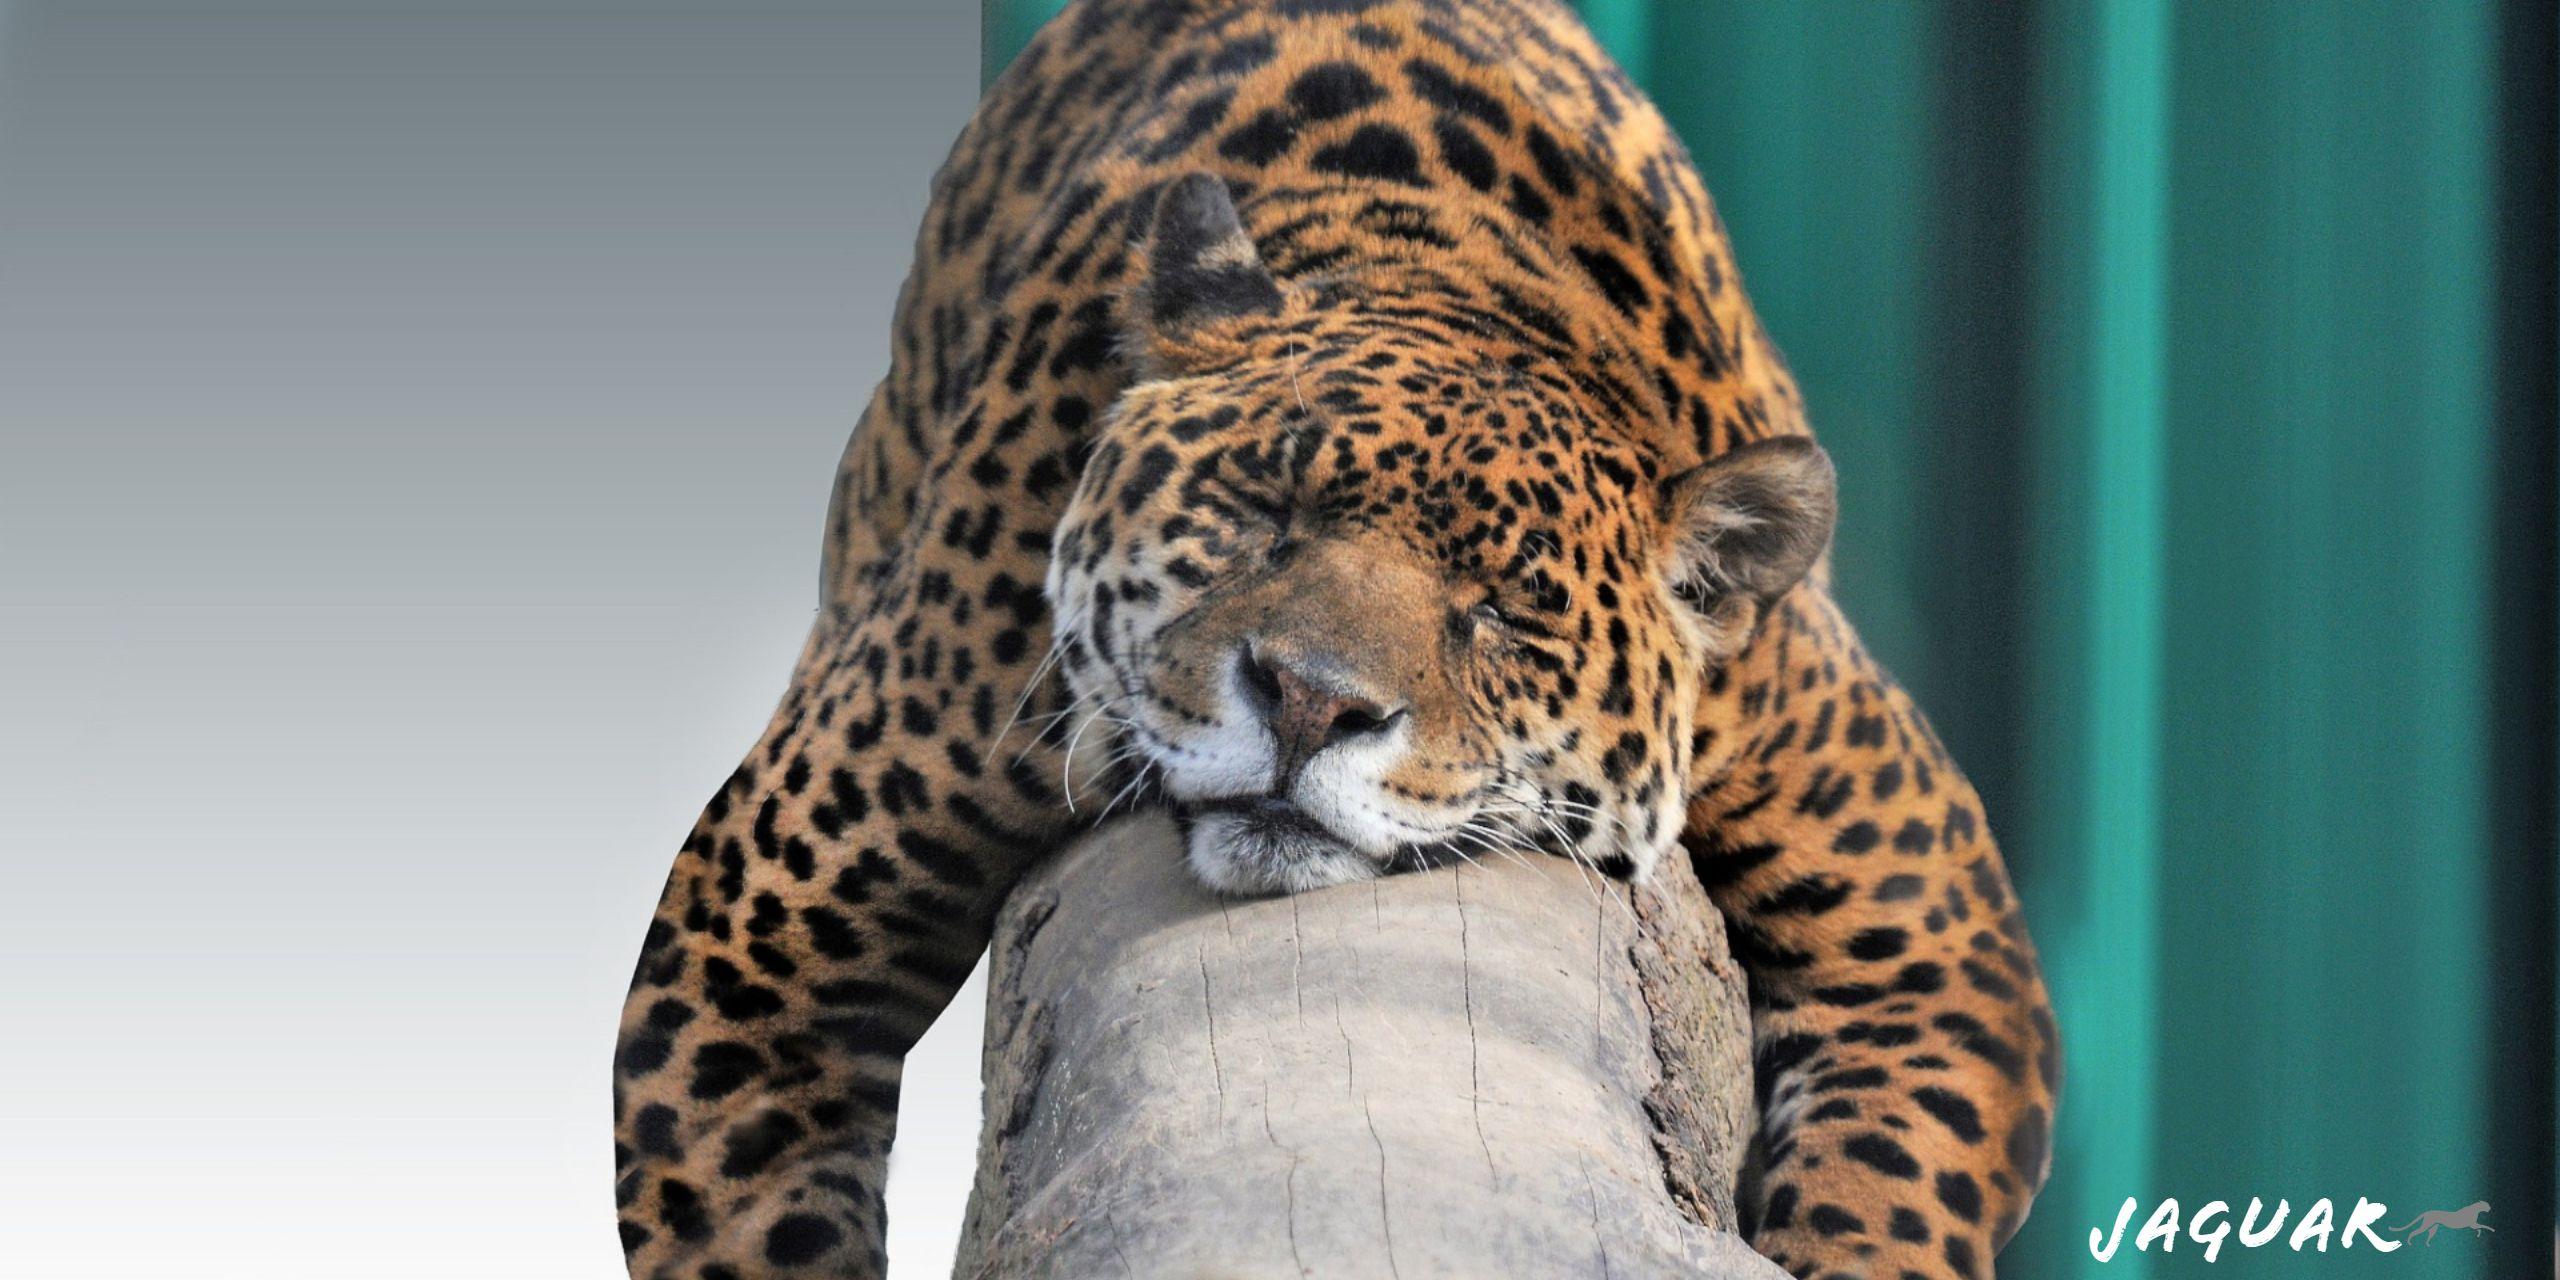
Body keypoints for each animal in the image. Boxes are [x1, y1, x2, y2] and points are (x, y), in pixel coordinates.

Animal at [612, 1, 2061, 1277]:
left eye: (1504, 609)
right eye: (1266, 509)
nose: (1309, 702)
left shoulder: (1926, 928)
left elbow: (1894, 1195)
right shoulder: (768, 919)